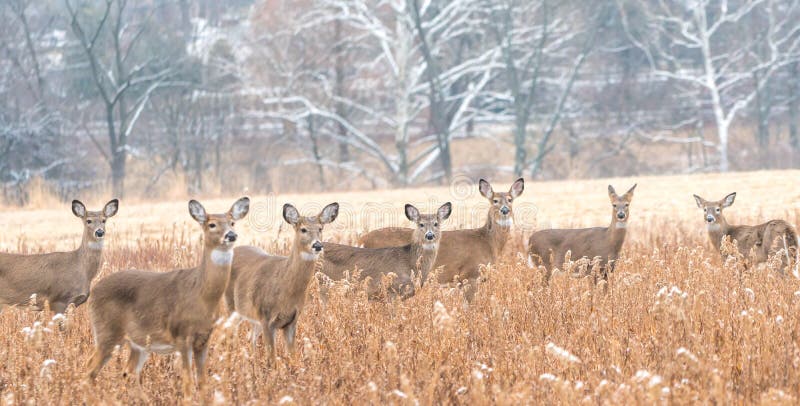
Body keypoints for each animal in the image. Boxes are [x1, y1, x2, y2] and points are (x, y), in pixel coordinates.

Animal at [86, 197, 249, 398]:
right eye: (212, 224)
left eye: (232, 222)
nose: (231, 235)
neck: (201, 295)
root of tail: (93, 291)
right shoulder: (181, 336)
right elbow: (188, 383)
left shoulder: (204, 339)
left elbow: (203, 383)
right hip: (106, 331)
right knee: (90, 370)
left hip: (138, 342)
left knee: (128, 372)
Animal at [226, 202, 339, 362]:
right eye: (303, 229)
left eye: (320, 228)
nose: (317, 245)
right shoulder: (266, 318)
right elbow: (272, 360)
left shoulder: (292, 321)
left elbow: (293, 356)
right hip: (231, 305)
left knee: (250, 338)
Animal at [360, 178, 523, 299]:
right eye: (495, 200)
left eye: (510, 200)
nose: (505, 210)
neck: (488, 242)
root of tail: (362, 239)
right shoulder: (470, 274)